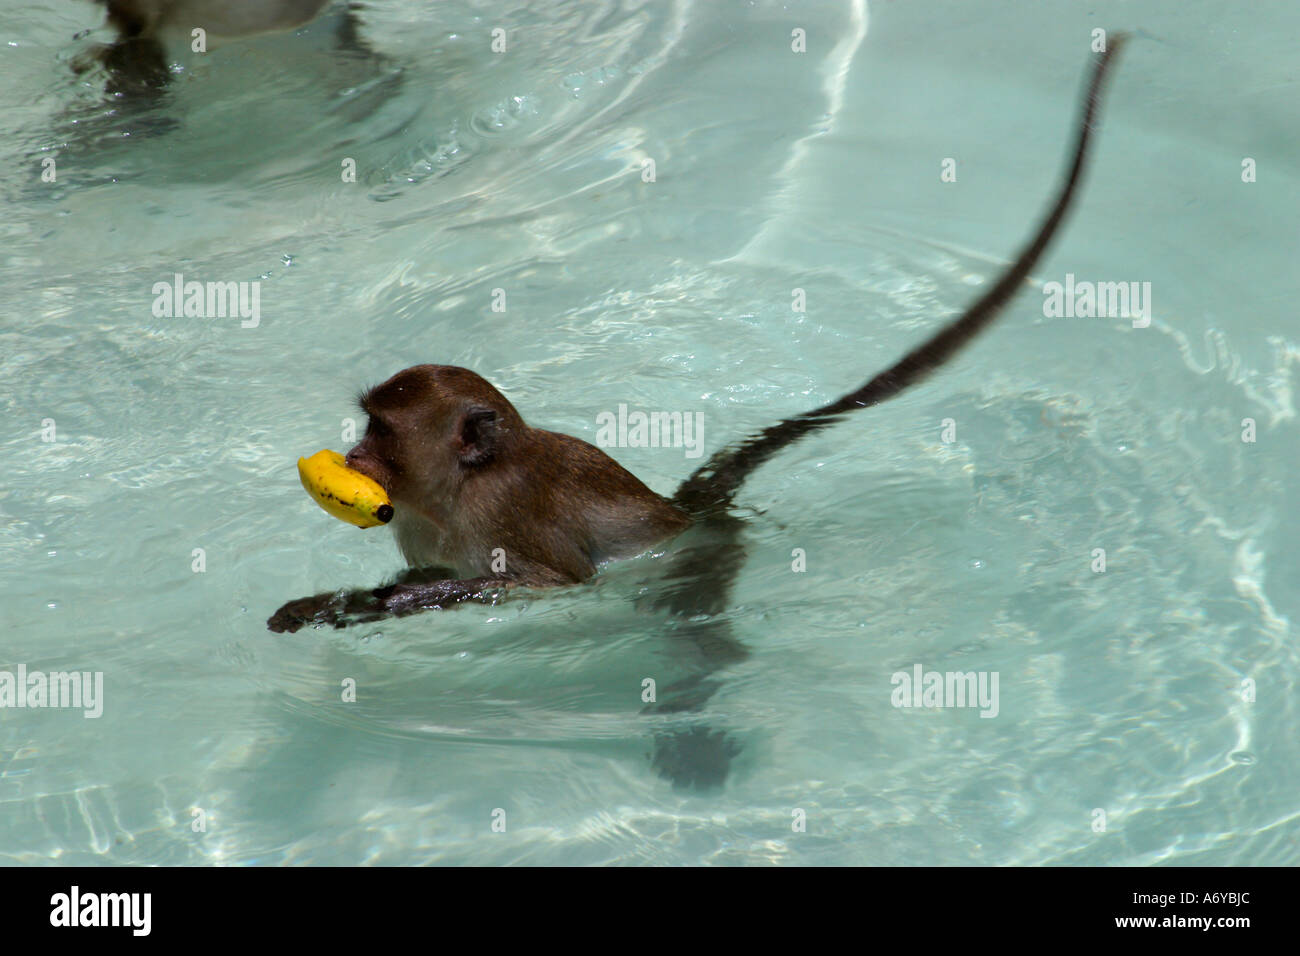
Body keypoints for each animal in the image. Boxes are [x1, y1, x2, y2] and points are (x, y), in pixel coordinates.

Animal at [267, 38, 1128, 787]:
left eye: (379, 429)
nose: (353, 455)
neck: (451, 497)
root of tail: (686, 514)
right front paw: (343, 605)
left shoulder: (506, 515)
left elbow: (554, 584)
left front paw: (402, 602)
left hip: (701, 566)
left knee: (694, 635)